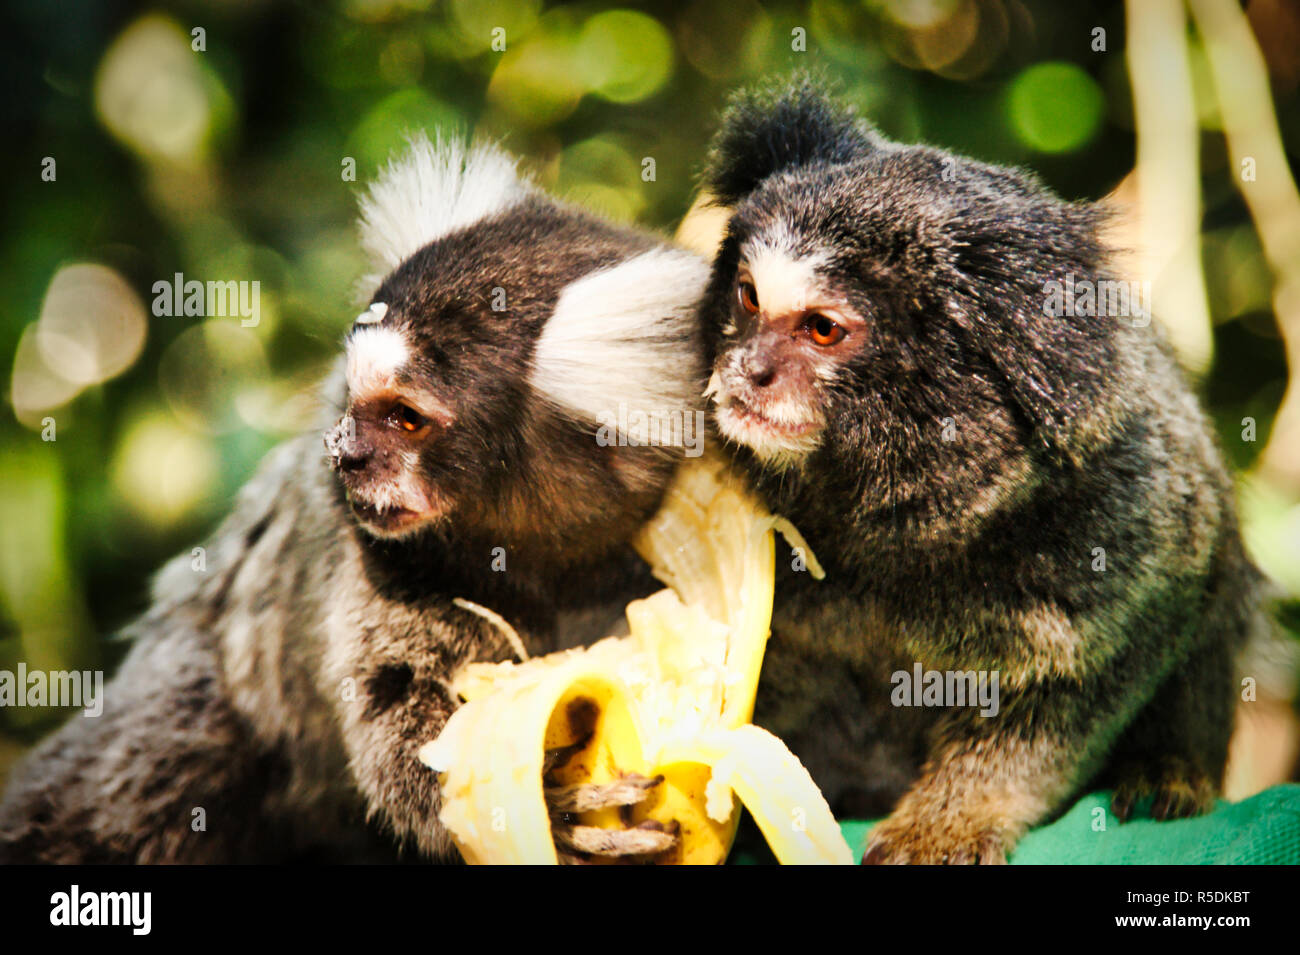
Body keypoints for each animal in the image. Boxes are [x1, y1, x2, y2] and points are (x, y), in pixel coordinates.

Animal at [0, 133, 711, 863]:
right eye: (357, 400)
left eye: (406, 418)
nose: (345, 454)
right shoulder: (372, 552)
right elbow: (393, 709)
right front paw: (549, 807)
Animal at [696, 76, 1264, 864]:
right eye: (748, 297)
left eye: (822, 328)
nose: (746, 369)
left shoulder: (1127, 520)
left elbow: (1091, 678)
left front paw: (949, 820)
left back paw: (1172, 769)